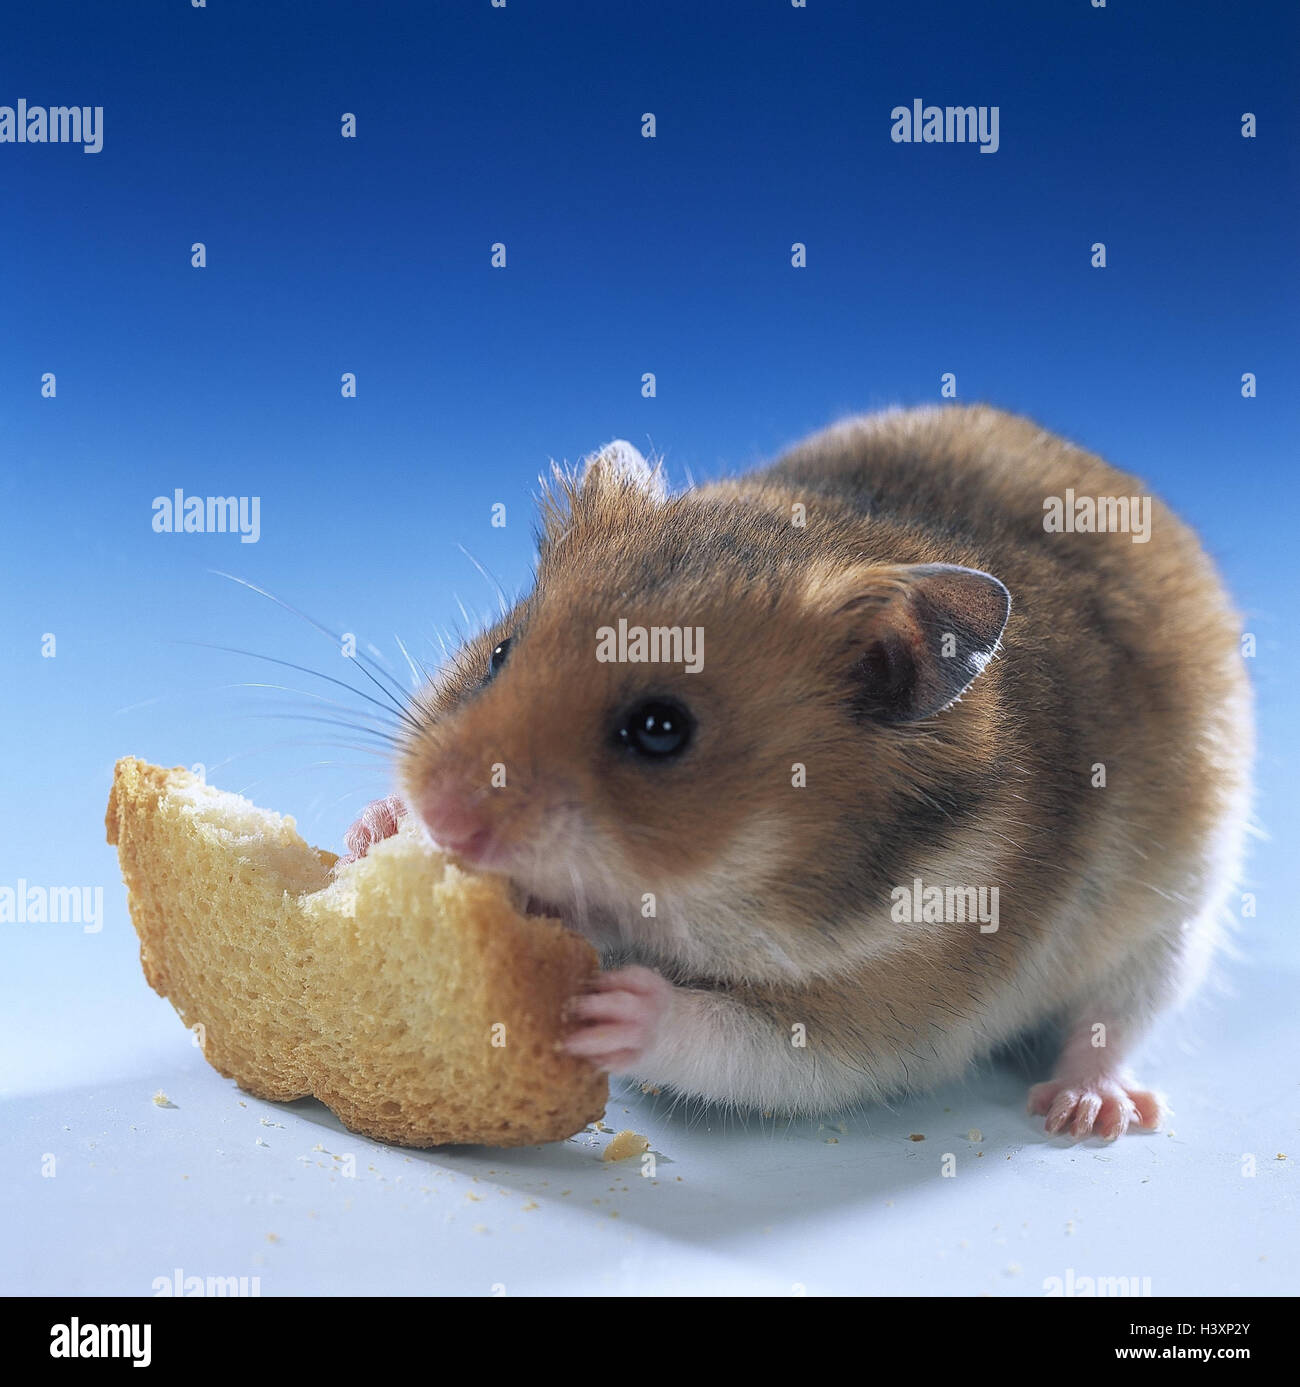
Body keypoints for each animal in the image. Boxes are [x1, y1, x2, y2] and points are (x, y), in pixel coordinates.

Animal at [346, 405, 1252, 1140]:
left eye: (661, 730)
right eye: (500, 654)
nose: (447, 816)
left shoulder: (884, 1019)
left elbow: (748, 1045)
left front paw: (610, 1007)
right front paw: (377, 830)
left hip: (1174, 917)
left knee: (1115, 1020)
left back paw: (1086, 1111)